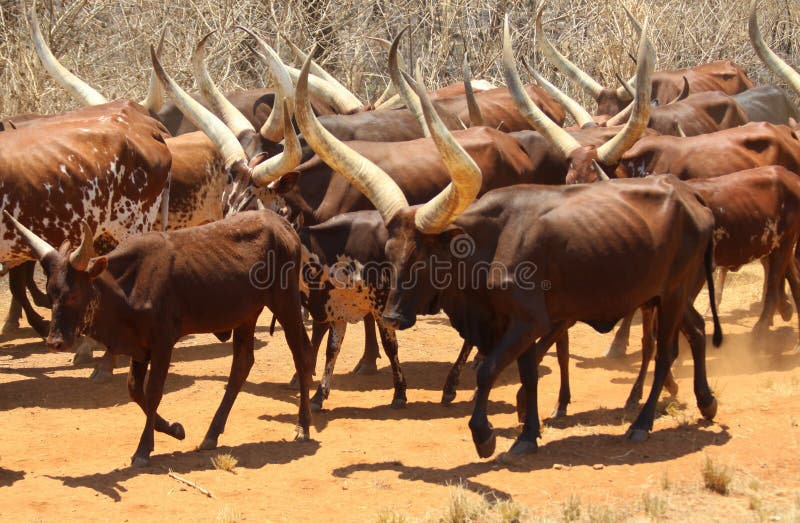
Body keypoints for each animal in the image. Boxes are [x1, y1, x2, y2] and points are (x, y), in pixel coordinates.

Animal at [5, 211, 312, 468]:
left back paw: (303, 426)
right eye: (51, 293)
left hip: (286, 303)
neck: (127, 286)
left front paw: (144, 449)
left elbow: (153, 392)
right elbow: (134, 390)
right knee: (242, 365)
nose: (55, 342)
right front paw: (173, 429)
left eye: (73, 295)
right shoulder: (139, 348)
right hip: (246, 317)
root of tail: (282, 222)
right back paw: (212, 433)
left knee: (302, 355)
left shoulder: (163, 344)